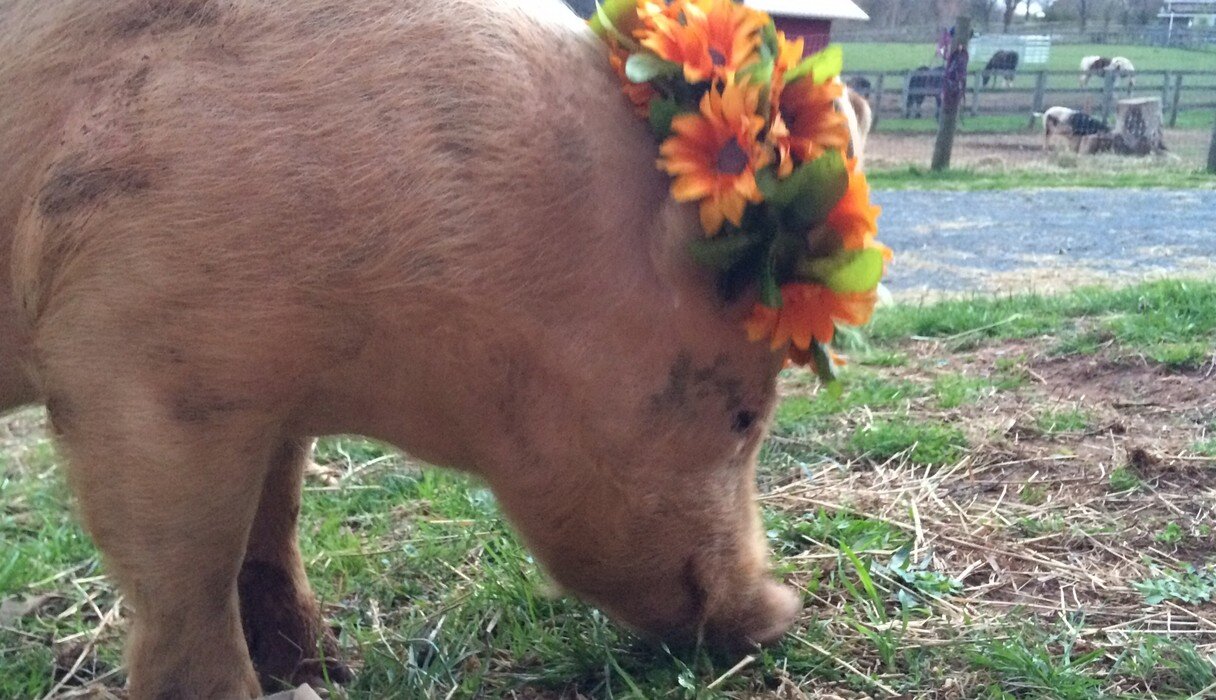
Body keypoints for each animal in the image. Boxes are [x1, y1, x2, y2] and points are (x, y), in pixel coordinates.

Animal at [0, 0, 867, 696]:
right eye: (744, 416)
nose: (779, 613)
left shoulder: (267, 395)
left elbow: (273, 522)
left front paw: (327, 671)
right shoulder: (132, 359)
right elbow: (191, 574)